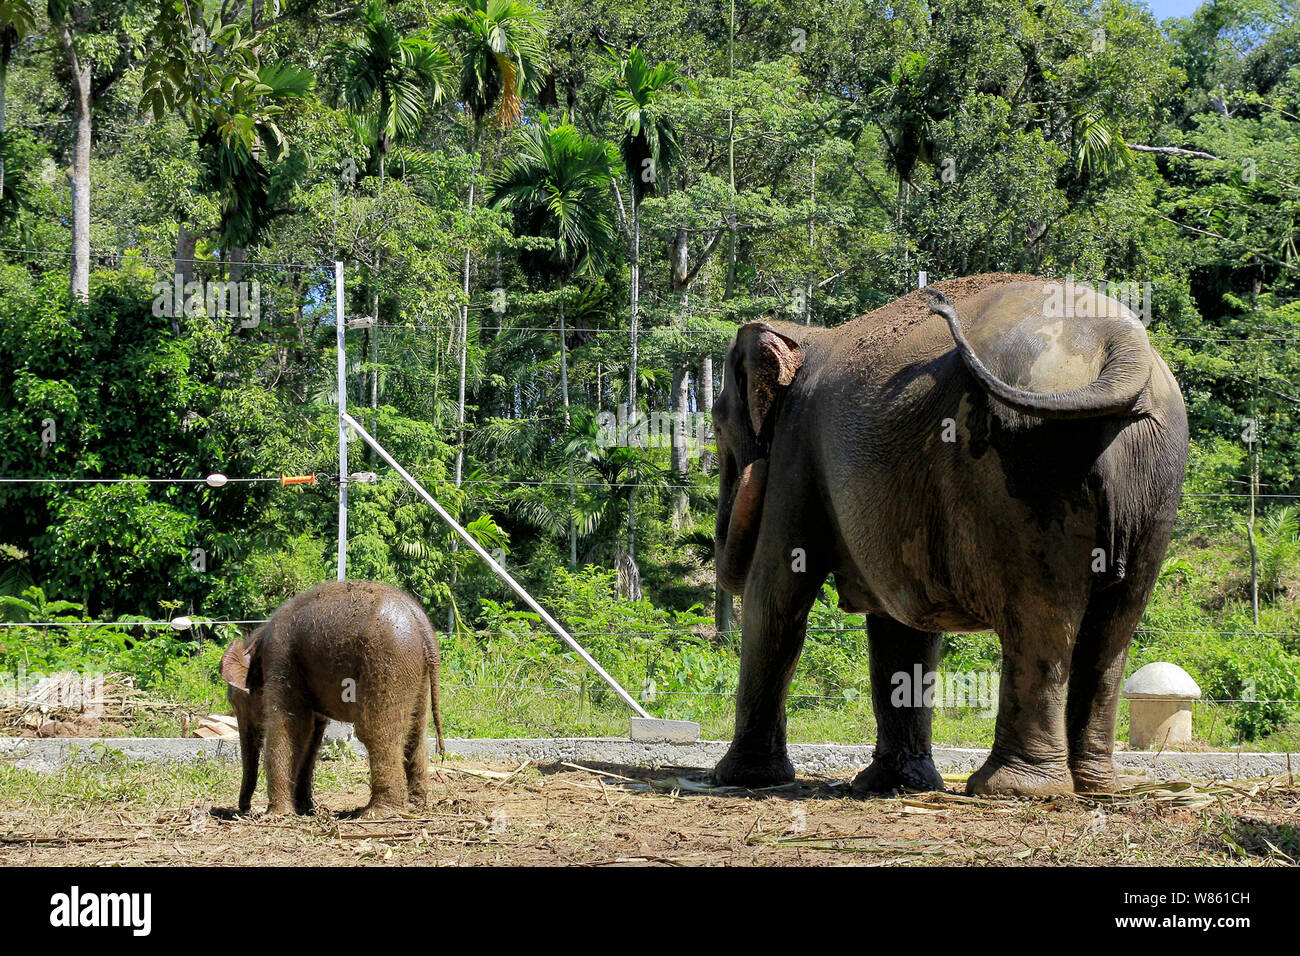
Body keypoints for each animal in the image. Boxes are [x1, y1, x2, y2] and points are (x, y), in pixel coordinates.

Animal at [220, 580, 445, 817]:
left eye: (235, 702)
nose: (243, 809)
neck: (256, 640)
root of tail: (420, 620)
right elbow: (311, 733)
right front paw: (304, 809)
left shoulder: (281, 659)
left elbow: (290, 725)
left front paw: (277, 814)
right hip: (416, 671)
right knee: (416, 731)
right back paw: (415, 806)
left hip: (388, 660)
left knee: (376, 731)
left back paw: (377, 813)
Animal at [710, 273, 1188, 797]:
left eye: (715, 421)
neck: (808, 334)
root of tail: (1121, 341)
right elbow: (900, 623)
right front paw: (894, 784)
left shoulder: (796, 449)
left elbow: (777, 590)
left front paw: (741, 779)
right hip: (1155, 478)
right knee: (1114, 625)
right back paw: (1094, 786)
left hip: (1030, 464)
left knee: (1040, 617)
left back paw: (1010, 789)